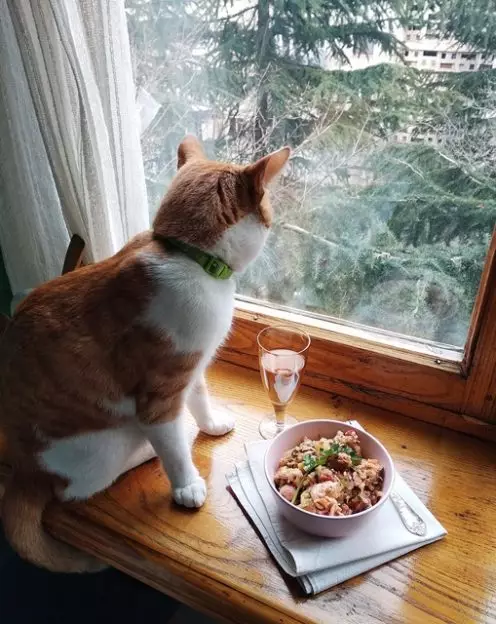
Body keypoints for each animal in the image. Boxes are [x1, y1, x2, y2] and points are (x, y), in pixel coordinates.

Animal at [0, 135, 290, 572]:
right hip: (107, 442)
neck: (187, 257)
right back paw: (146, 452)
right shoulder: (160, 393)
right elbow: (173, 448)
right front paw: (187, 485)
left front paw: (211, 424)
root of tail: (22, 472)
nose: (275, 223)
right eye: (269, 208)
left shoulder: (192, 365)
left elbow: (200, 396)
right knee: (78, 486)